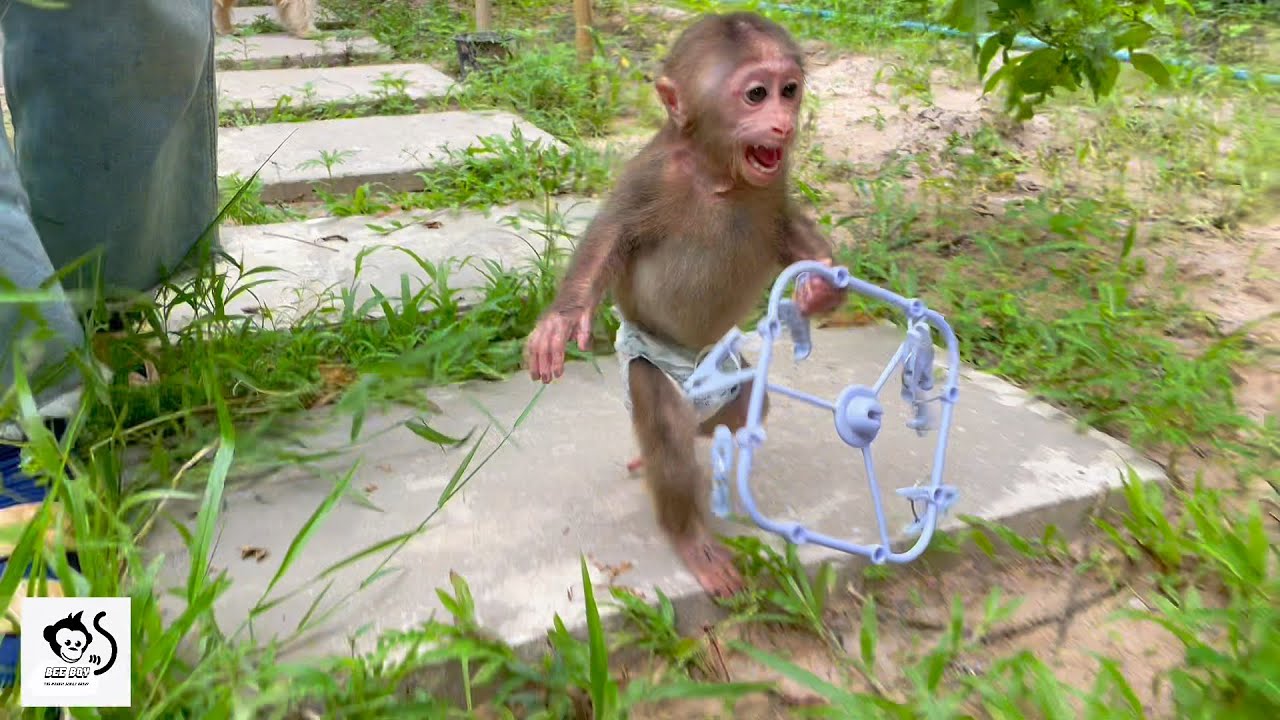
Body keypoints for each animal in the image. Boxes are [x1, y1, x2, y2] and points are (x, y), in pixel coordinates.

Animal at [524, 12, 846, 598]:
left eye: (789, 91)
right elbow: (608, 240)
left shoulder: (774, 184)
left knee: (741, 410)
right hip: (653, 366)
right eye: (757, 94)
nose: (783, 124)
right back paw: (690, 538)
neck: (717, 175)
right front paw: (560, 321)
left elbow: (787, 229)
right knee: (671, 433)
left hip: (728, 375)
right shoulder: (650, 176)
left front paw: (824, 288)